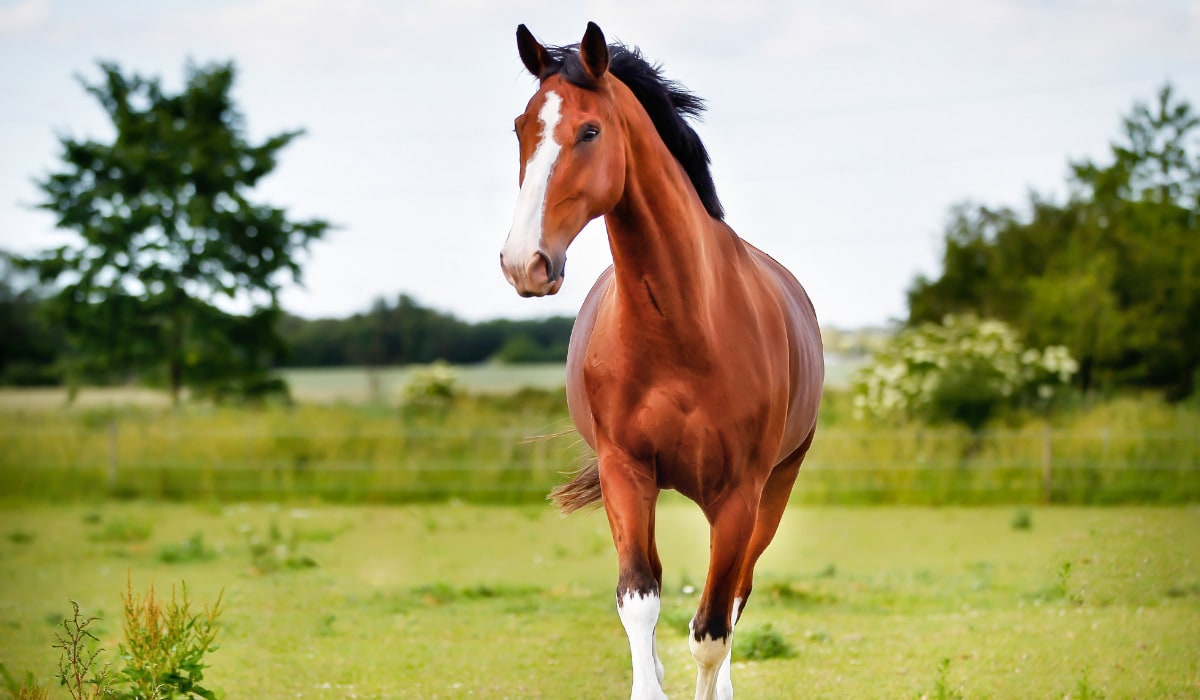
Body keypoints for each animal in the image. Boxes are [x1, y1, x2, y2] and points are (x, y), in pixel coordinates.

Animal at [499, 22, 824, 700]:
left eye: (590, 131)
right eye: (520, 129)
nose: (524, 263)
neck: (681, 327)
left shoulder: (740, 494)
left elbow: (711, 632)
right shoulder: (626, 473)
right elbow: (640, 600)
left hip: (772, 493)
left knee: (735, 598)